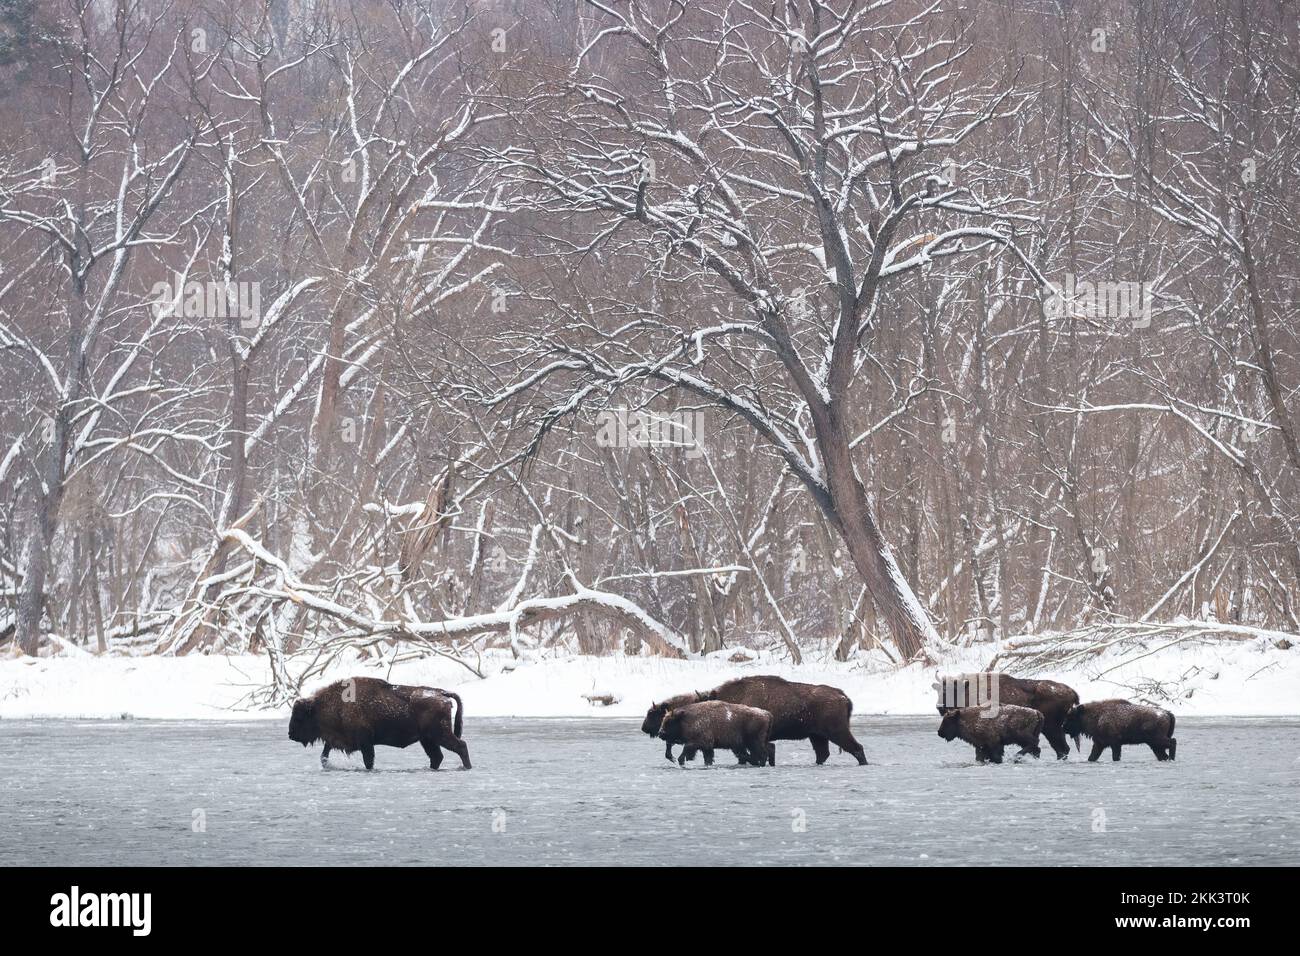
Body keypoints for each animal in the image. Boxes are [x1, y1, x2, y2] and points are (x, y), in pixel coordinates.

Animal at [288, 677, 470, 770]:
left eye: (298, 717)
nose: (290, 734)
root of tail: (442, 693)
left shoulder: (365, 743)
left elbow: (369, 760)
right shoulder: (335, 740)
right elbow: (324, 755)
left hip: (439, 735)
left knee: (460, 746)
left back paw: (467, 767)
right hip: (427, 740)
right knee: (437, 756)